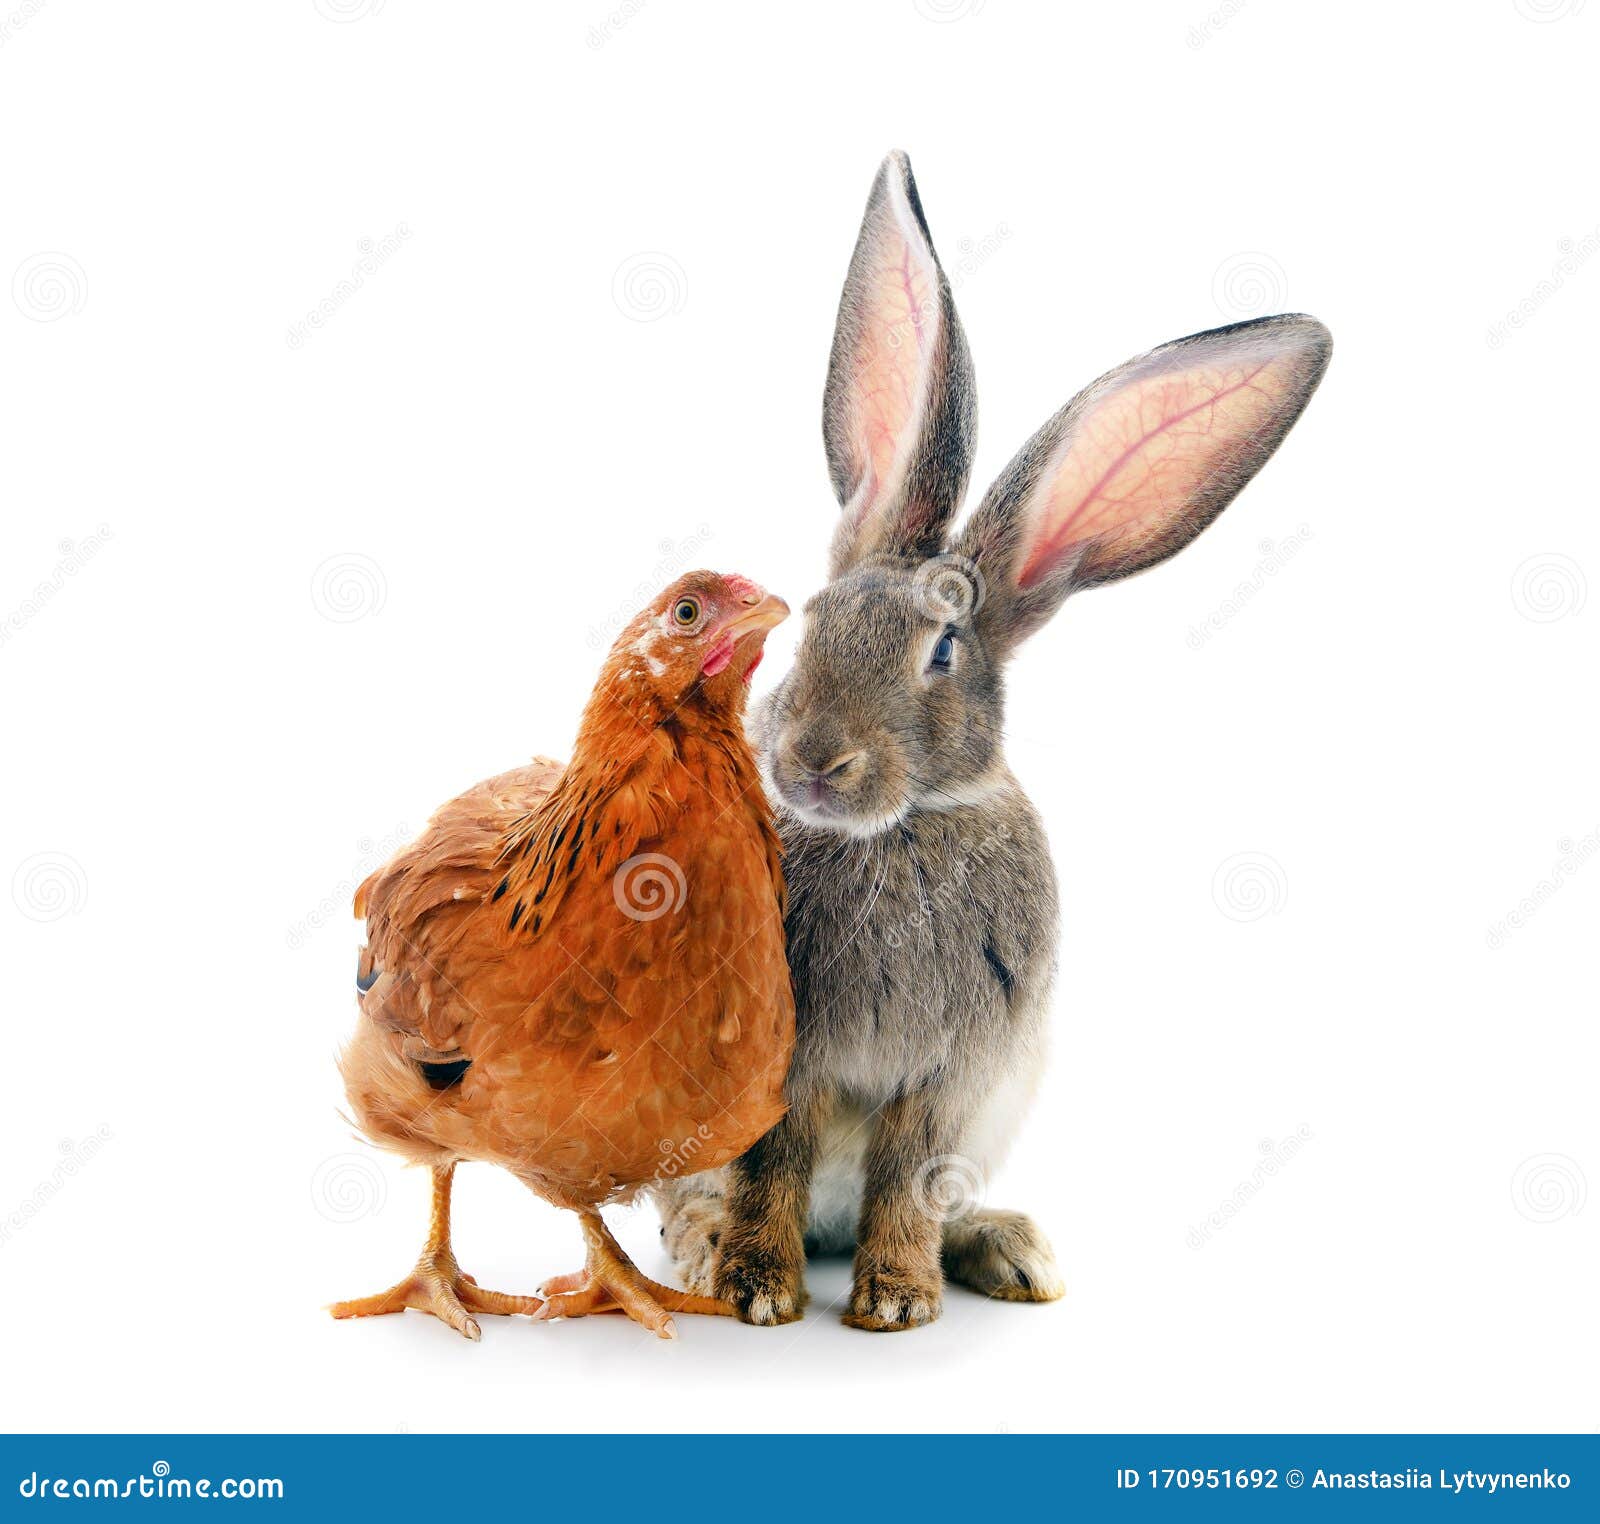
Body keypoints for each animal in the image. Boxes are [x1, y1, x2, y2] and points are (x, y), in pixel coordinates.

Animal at [654, 151, 1332, 1330]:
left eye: (942, 654)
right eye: (812, 621)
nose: (815, 760)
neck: (895, 828)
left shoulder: (955, 1080)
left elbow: (907, 1175)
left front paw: (893, 1302)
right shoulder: (784, 1070)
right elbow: (772, 1165)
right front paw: (756, 1291)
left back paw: (1008, 1252)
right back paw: (703, 1256)